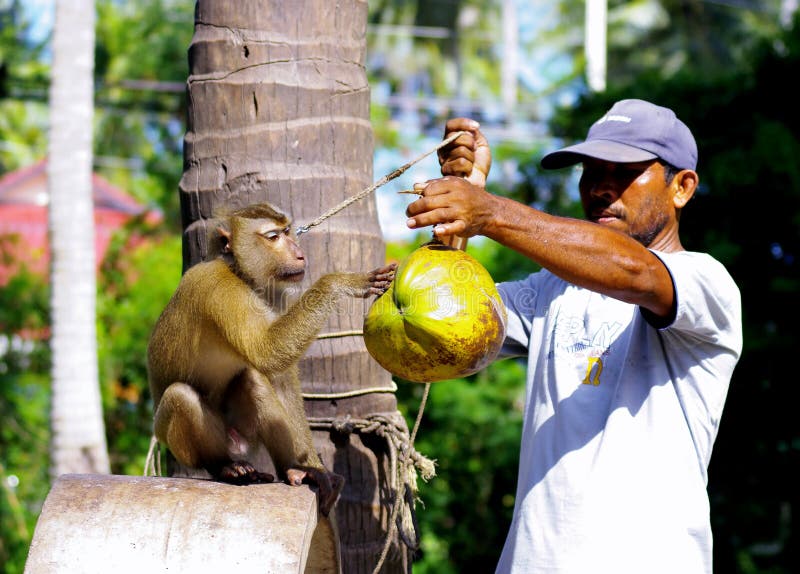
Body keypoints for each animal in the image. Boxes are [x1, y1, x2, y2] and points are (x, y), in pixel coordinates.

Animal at [146, 202, 396, 516]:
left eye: (288, 231)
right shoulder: (216, 286)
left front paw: (313, 467)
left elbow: (281, 377)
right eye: (274, 237)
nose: (299, 253)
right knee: (181, 395)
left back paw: (294, 469)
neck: (240, 274)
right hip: (184, 443)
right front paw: (341, 282)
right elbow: (267, 349)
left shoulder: (274, 295)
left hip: (245, 434)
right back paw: (226, 468)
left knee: (252, 380)